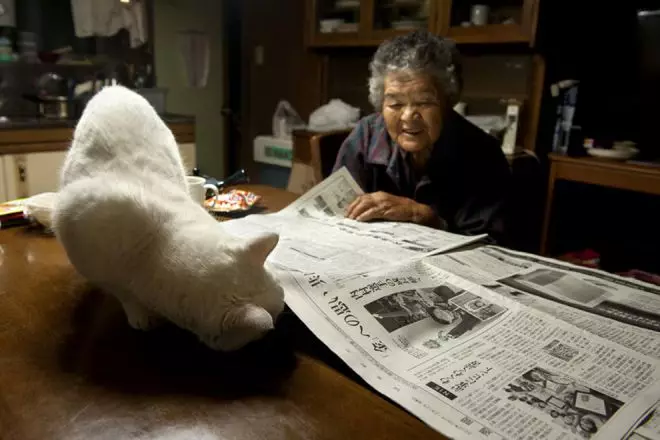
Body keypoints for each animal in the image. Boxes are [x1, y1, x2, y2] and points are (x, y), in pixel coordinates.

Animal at [52, 87, 284, 350]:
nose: (283, 307)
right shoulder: (81, 242)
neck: (154, 248)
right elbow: (123, 293)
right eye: (275, 316)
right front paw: (139, 314)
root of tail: (115, 87)